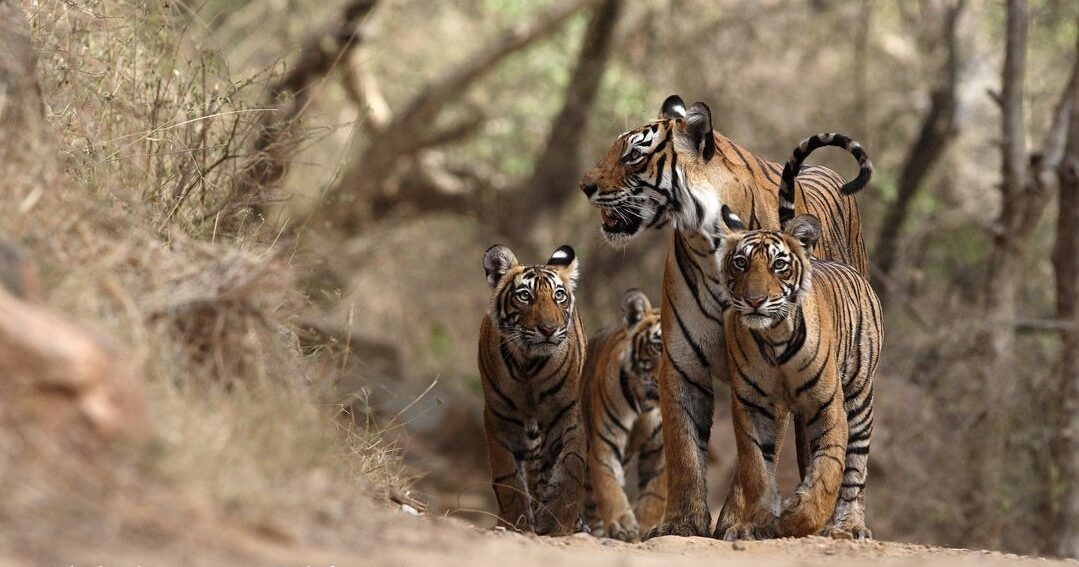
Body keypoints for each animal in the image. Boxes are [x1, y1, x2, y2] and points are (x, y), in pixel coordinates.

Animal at [478, 244, 588, 535]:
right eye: (525, 296)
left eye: (559, 296)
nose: (548, 329)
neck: (528, 367)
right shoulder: (498, 420)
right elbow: (508, 479)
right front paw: (514, 523)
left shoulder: (569, 417)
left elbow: (569, 471)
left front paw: (556, 524)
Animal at [580, 289, 666, 541]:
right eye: (657, 346)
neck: (647, 405)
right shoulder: (604, 444)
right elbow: (610, 488)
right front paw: (622, 526)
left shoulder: (660, 451)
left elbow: (654, 496)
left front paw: (646, 527)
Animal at [712, 202, 882, 540]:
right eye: (741, 263)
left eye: (779, 265)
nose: (754, 300)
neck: (775, 337)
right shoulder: (753, 405)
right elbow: (757, 469)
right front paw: (757, 524)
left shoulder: (828, 405)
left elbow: (829, 469)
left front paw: (798, 519)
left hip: (859, 398)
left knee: (855, 468)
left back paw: (849, 525)